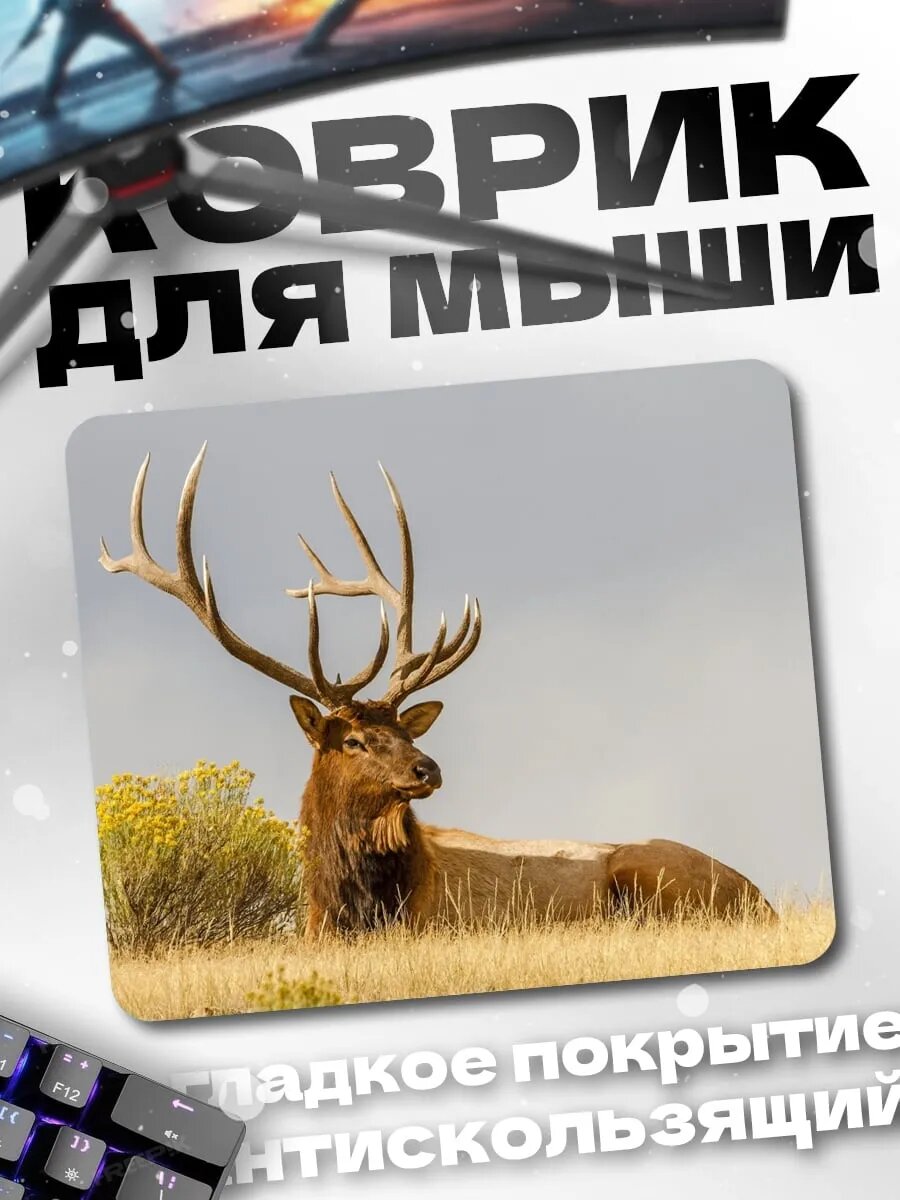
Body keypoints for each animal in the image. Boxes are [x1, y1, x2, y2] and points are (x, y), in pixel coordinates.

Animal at [100, 444, 774, 937]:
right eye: (353, 740)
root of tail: (762, 898)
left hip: (652, 874)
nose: (428, 769)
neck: (354, 911)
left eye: (403, 728)